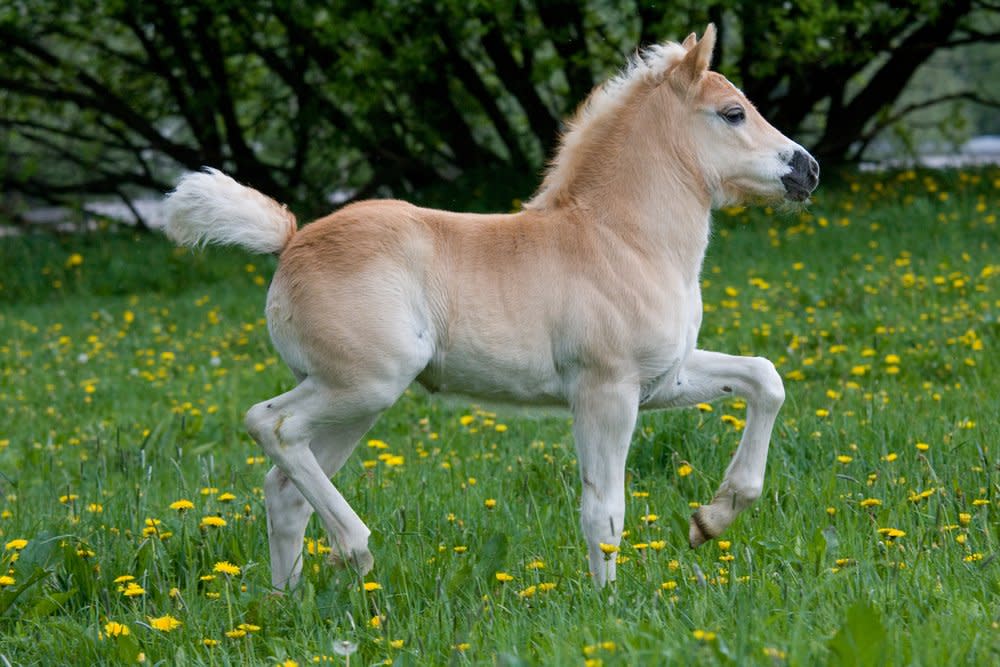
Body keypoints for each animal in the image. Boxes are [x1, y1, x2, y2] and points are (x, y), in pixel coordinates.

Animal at [163, 24, 819, 590]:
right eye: (733, 113)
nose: (807, 169)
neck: (622, 239)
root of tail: (292, 239)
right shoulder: (606, 391)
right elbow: (604, 511)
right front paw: (607, 607)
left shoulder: (663, 381)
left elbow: (766, 379)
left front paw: (712, 519)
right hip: (363, 385)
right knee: (269, 424)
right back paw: (355, 549)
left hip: (353, 403)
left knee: (284, 486)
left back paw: (289, 604)